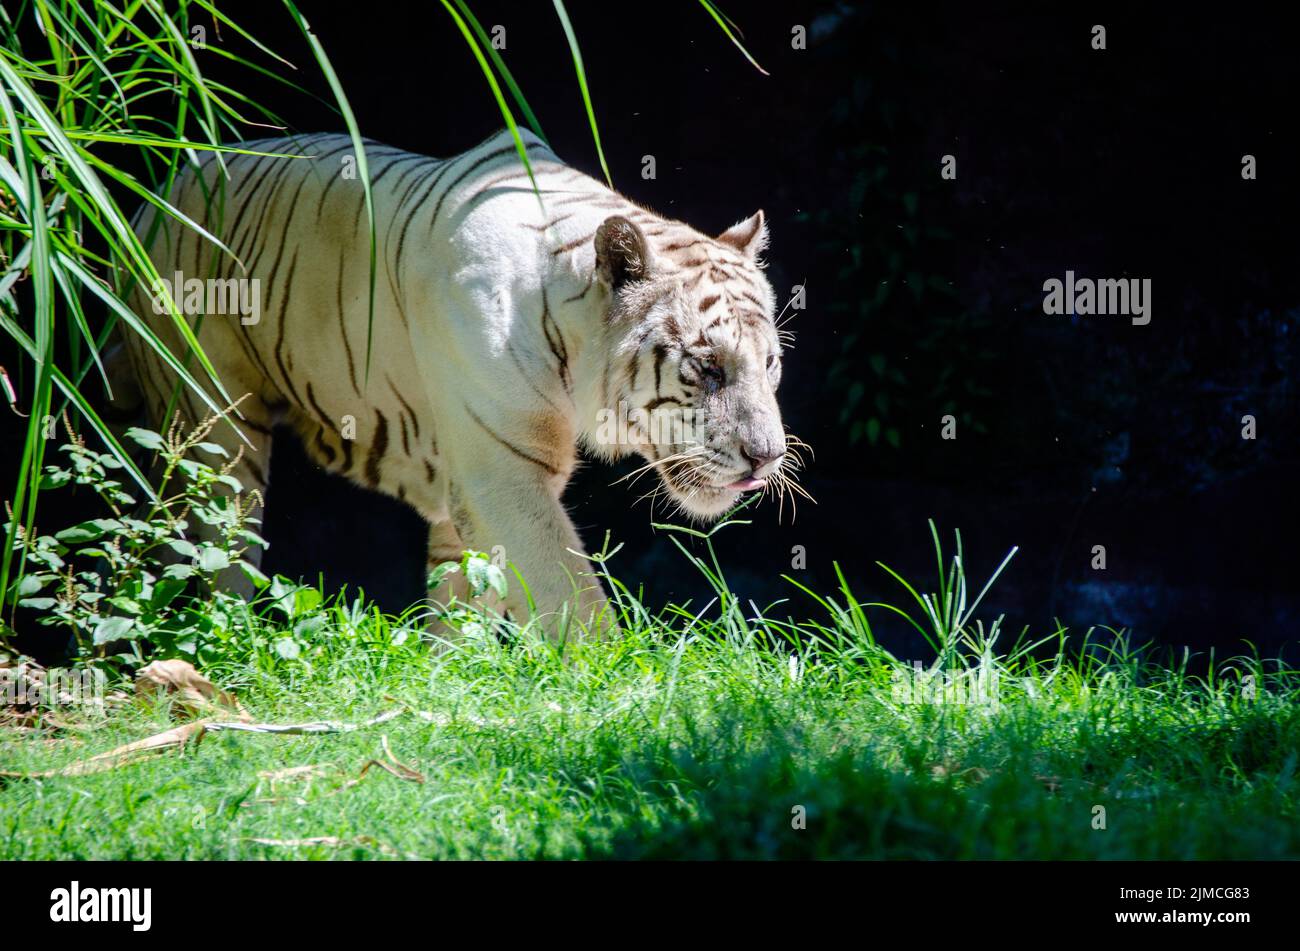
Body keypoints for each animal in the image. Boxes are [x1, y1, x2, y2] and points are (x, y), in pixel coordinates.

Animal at [116, 128, 799, 637]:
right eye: (709, 367)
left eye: (769, 364)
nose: (766, 459)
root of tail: (158, 191)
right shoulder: (503, 469)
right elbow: (570, 595)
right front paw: (619, 687)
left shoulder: (474, 479)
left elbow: (472, 592)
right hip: (215, 428)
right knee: (218, 546)